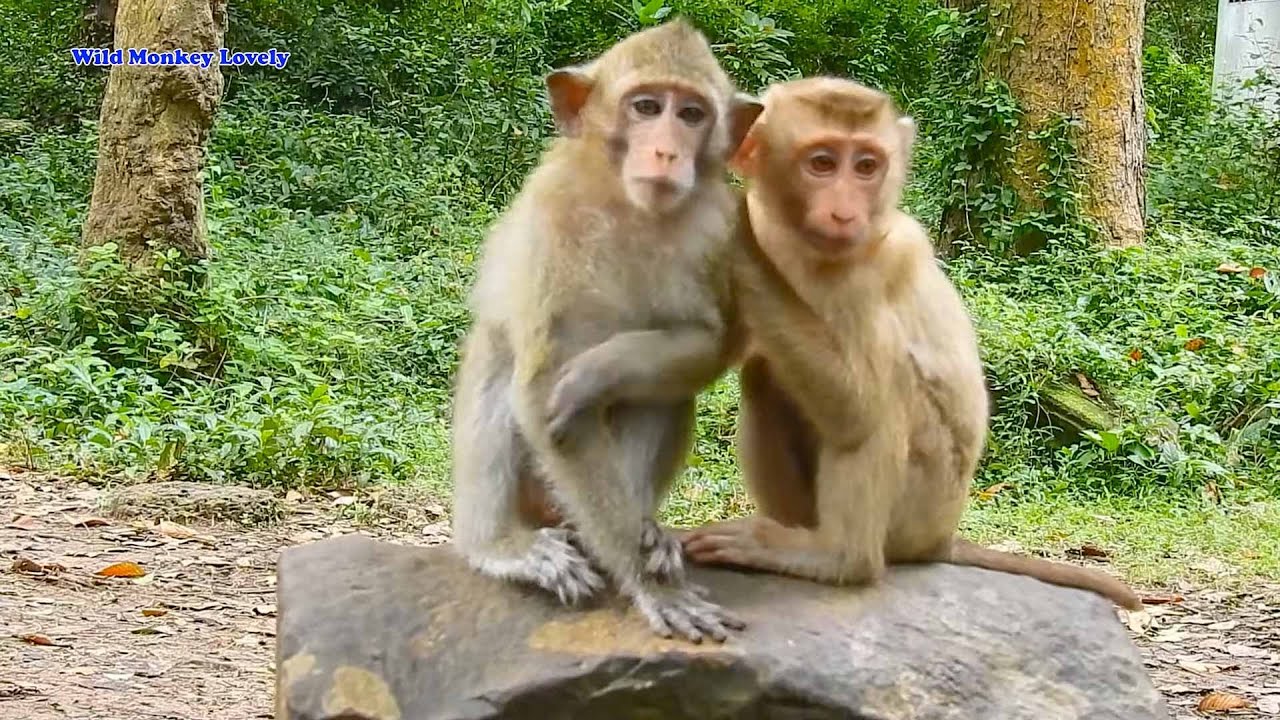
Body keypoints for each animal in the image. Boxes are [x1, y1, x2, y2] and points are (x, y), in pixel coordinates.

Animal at [449, 19, 765, 643]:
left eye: (691, 114)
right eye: (646, 107)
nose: (666, 149)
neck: (630, 206)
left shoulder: (722, 226)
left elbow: (709, 341)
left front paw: (596, 372)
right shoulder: (555, 223)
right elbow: (539, 387)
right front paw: (654, 589)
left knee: (663, 392)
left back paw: (646, 531)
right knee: (501, 362)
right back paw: (502, 545)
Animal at [680, 77, 1144, 612]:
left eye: (866, 166)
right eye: (822, 163)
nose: (846, 212)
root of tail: (941, 539)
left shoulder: (879, 267)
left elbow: (858, 405)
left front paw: (731, 229)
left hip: (920, 506)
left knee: (882, 399)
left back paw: (839, 558)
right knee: (767, 378)